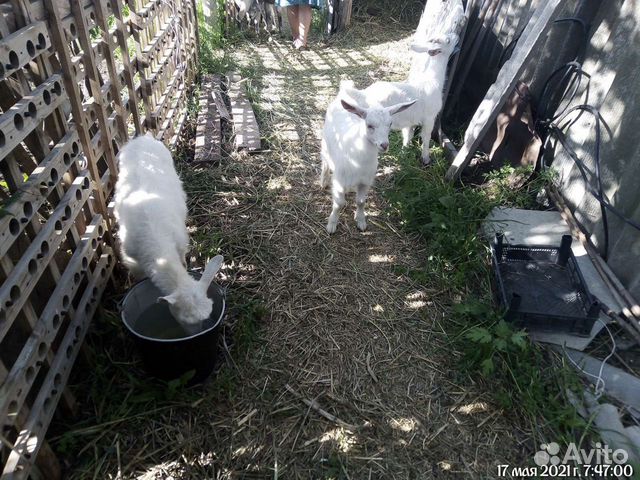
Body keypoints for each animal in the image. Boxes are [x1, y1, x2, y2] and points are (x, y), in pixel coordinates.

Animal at [320, 81, 415, 234]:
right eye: (369, 125)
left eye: (390, 124)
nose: (384, 145)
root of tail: (344, 92)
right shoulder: (339, 180)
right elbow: (339, 203)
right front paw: (332, 224)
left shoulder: (365, 181)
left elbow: (361, 202)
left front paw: (361, 221)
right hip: (325, 144)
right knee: (325, 161)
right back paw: (323, 181)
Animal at [362, 33, 459, 165]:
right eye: (448, 40)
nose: (456, 36)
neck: (433, 80)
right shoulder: (429, 118)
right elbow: (426, 137)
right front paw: (426, 159)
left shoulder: (411, 120)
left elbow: (408, 135)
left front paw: (404, 151)